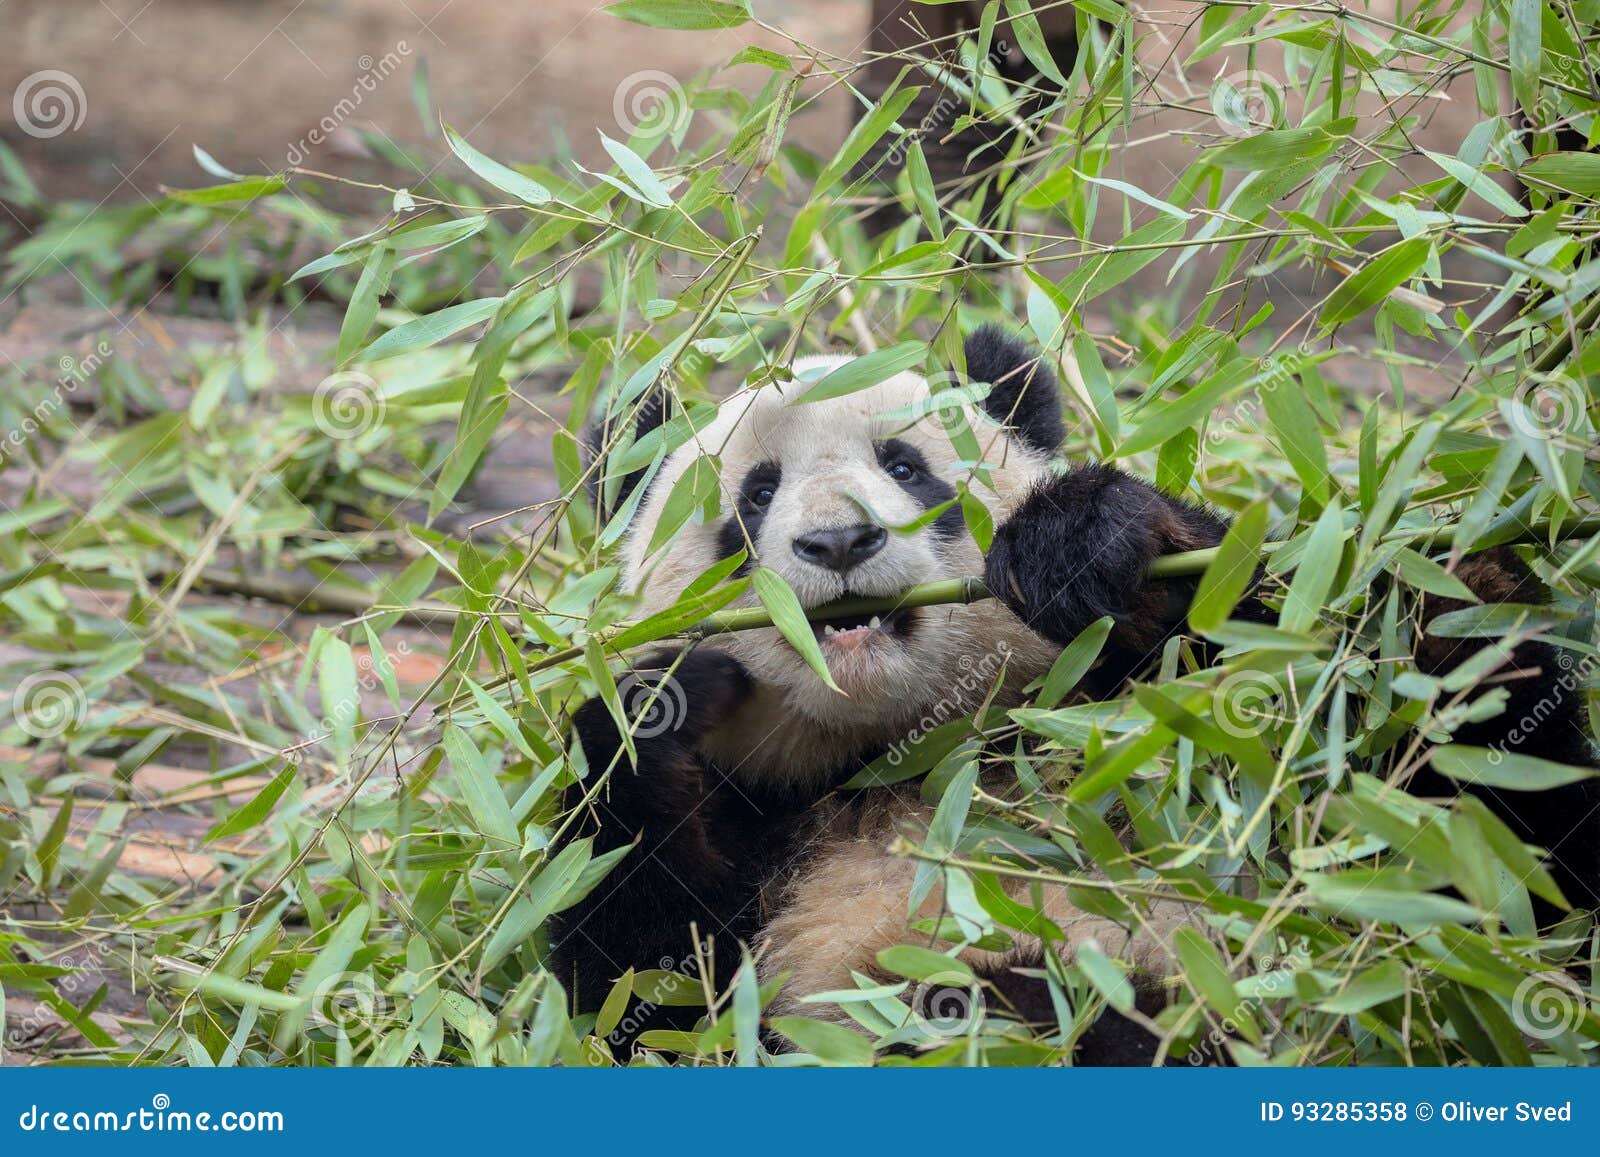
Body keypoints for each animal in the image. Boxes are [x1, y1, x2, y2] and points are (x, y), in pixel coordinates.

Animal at [554, 326, 1600, 1064]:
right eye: (757, 497)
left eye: (905, 467)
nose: (839, 543)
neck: (907, 750)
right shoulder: (766, 827)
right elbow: (643, 990)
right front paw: (654, 711)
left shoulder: (1144, 711)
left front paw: (1080, 541)